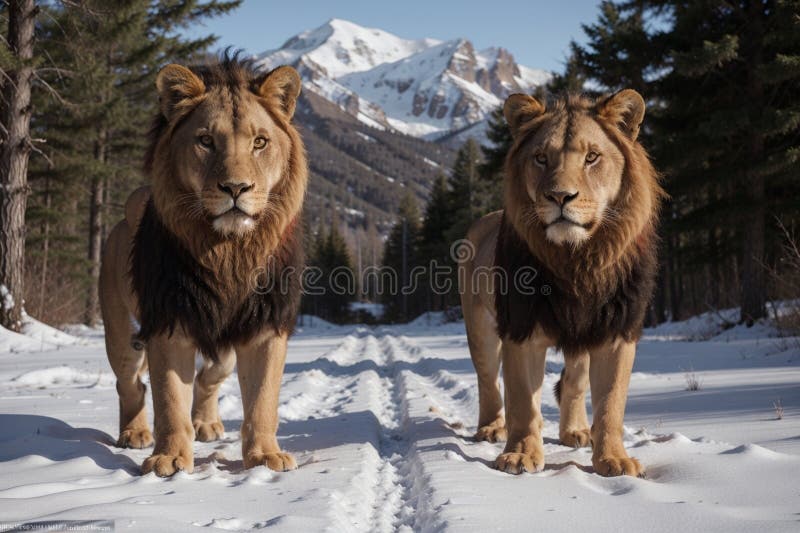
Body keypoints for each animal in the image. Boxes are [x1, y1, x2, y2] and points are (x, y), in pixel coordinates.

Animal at [99, 55, 307, 477]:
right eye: (206, 140)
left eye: (260, 142)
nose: (236, 188)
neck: (227, 251)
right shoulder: (168, 324)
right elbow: (168, 400)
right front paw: (169, 459)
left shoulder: (265, 326)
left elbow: (262, 400)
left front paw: (265, 457)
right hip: (122, 333)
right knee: (130, 383)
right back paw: (134, 433)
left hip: (225, 346)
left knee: (208, 376)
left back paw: (207, 424)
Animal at [459, 89, 663, 477]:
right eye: (541, 158)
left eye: (592, 157)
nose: (559, 196)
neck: (576, 260)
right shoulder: (520, 329)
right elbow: (522, 400)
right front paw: (520, 454)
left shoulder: (618, 330)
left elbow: (611, 403)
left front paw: (613, 459)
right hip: (480, 328)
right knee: (488, 380)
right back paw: (492, 428)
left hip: (583, 335)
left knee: (573, 381)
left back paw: (576, 432)